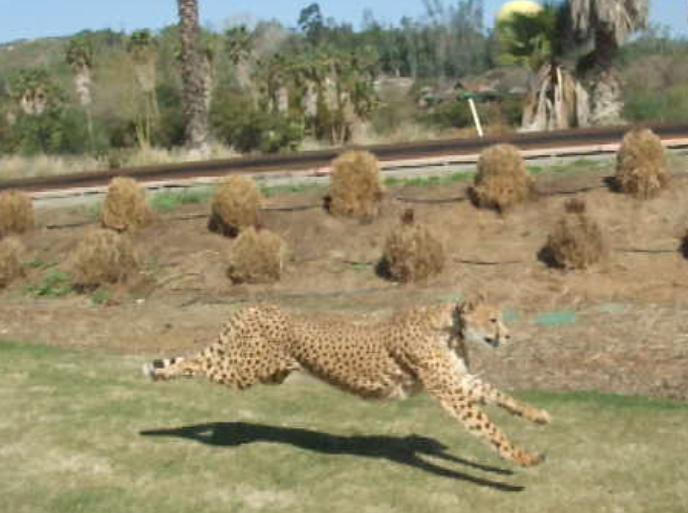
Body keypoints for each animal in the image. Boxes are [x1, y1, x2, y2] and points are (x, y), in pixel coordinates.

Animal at [143, 299, 551, 467]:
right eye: (494, 319)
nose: (509, 336)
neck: (449, 328)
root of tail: (257, 306)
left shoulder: (460, 383)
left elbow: (501, 396)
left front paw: (540, 416)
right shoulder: (451, 393)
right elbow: (492, 431)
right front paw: (524, 458)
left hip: (266, 374)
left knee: (203, 362)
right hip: (245, 371)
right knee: (197, 364)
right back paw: (161, 379)